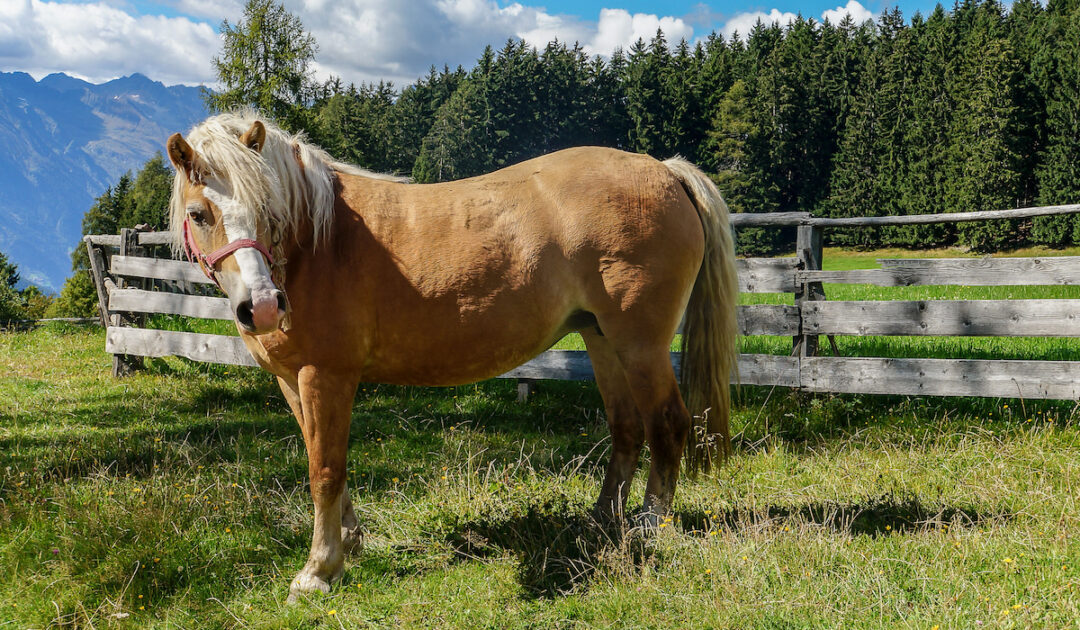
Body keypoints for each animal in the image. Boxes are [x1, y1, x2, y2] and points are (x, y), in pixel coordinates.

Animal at [166, 111, 739, 602]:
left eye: (268, 210)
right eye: (199, 214)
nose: (262, 307)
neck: (318, 243)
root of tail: (664, 171)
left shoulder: (326, 375)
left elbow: (325, 468)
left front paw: (318, 571)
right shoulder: (293, 380)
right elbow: (321, 457)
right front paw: (347, 541)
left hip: (640, 346)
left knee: (667, 423)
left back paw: (649, 527)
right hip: (601, 341)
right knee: (627, 428)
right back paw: (602, 520)